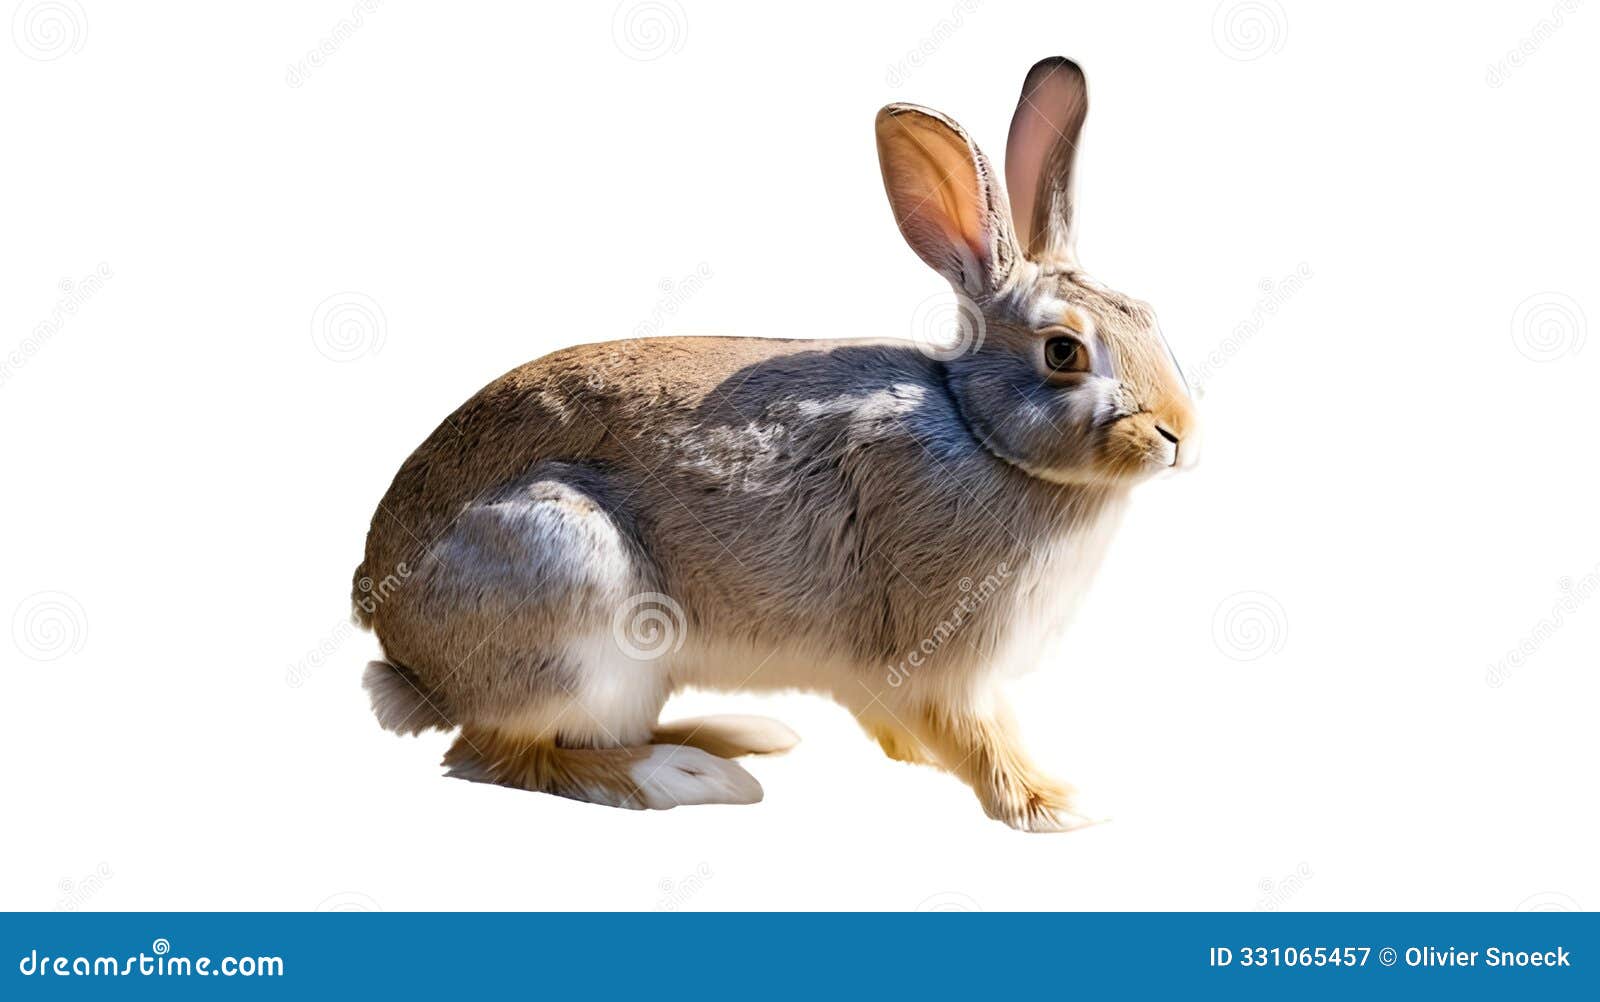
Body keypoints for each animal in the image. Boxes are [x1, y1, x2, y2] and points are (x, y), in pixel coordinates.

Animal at [352, 56, 1197, 831]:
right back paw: (692, 774)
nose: (1179, 435)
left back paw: (736, 733)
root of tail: (401, 649)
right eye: (1064, 352)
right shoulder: (944, 656)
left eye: (1148, 317)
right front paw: (1055, 804)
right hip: (576, 607)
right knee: (505, 753)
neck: (980, 433)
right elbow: (978, 734)